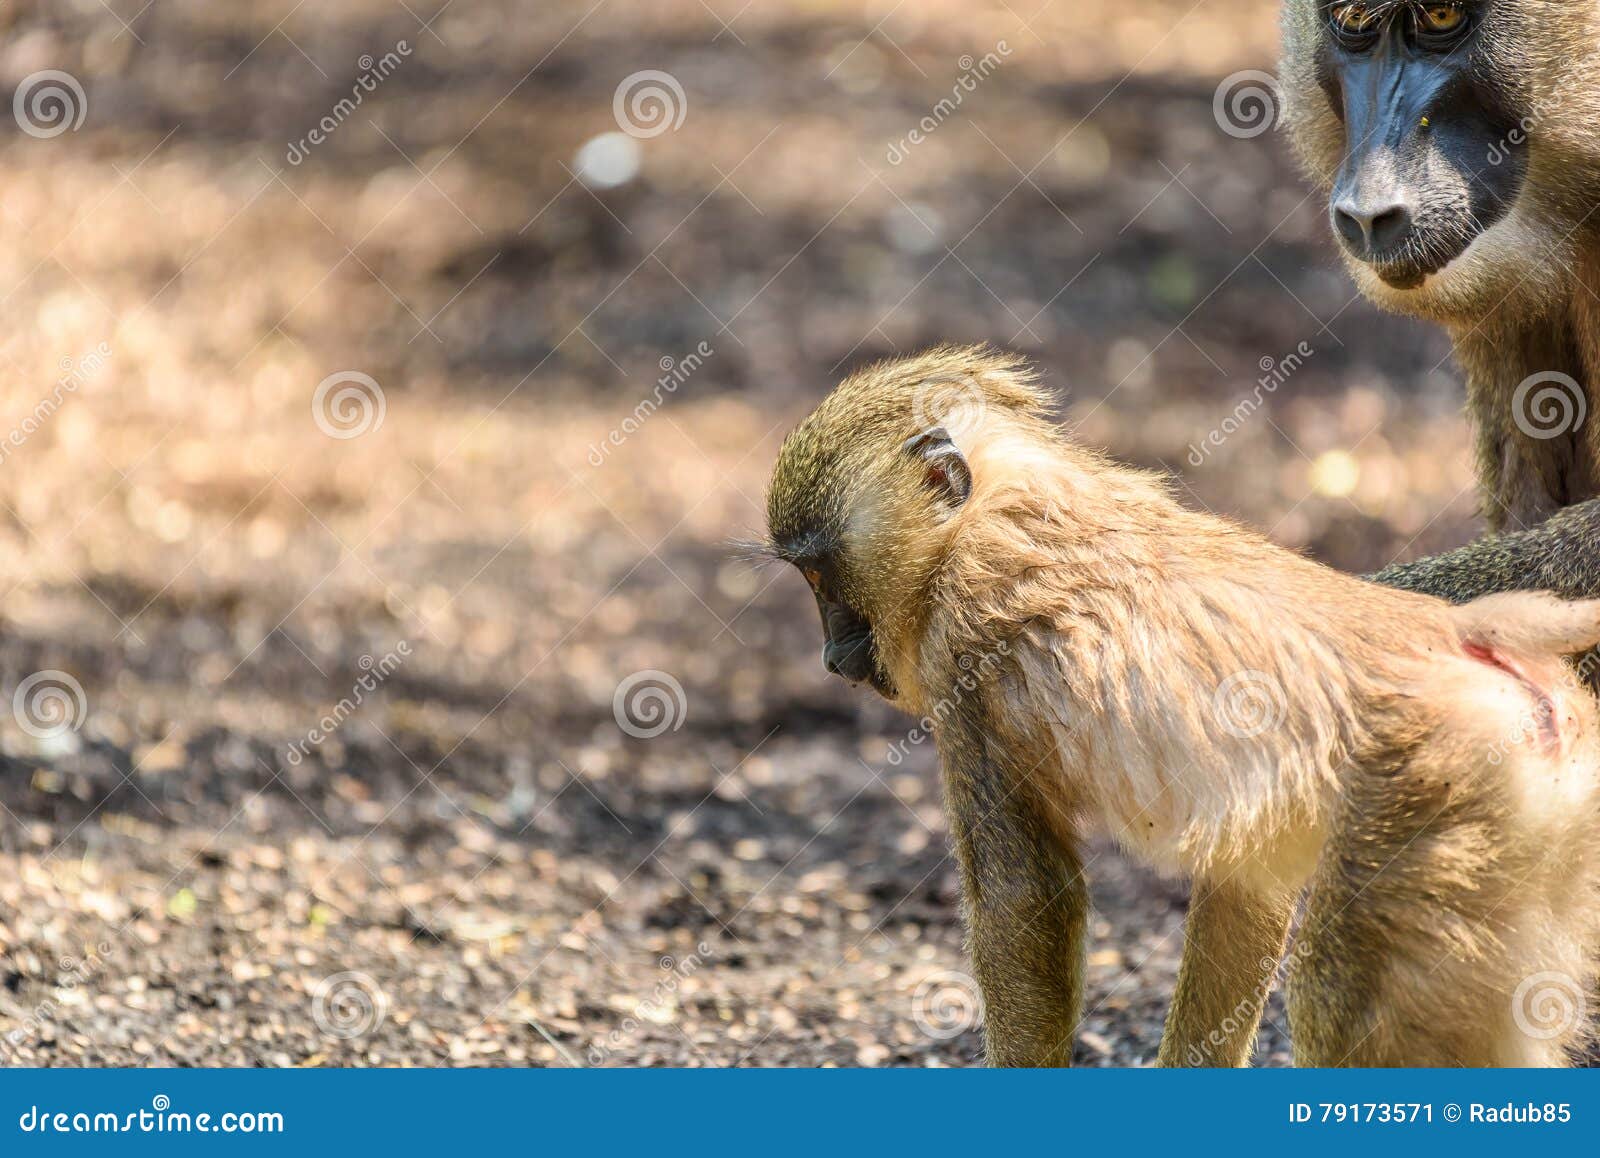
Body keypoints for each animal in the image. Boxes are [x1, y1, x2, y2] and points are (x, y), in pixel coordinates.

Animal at [762, 346, 1600, 1066]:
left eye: (819, 576)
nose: (832, 657)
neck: (998, 505)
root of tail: (1479, 642)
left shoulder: (960, 658)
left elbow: (1023, 903)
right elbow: (1249, 881)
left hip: (1433, 790)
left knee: (1336, 990)